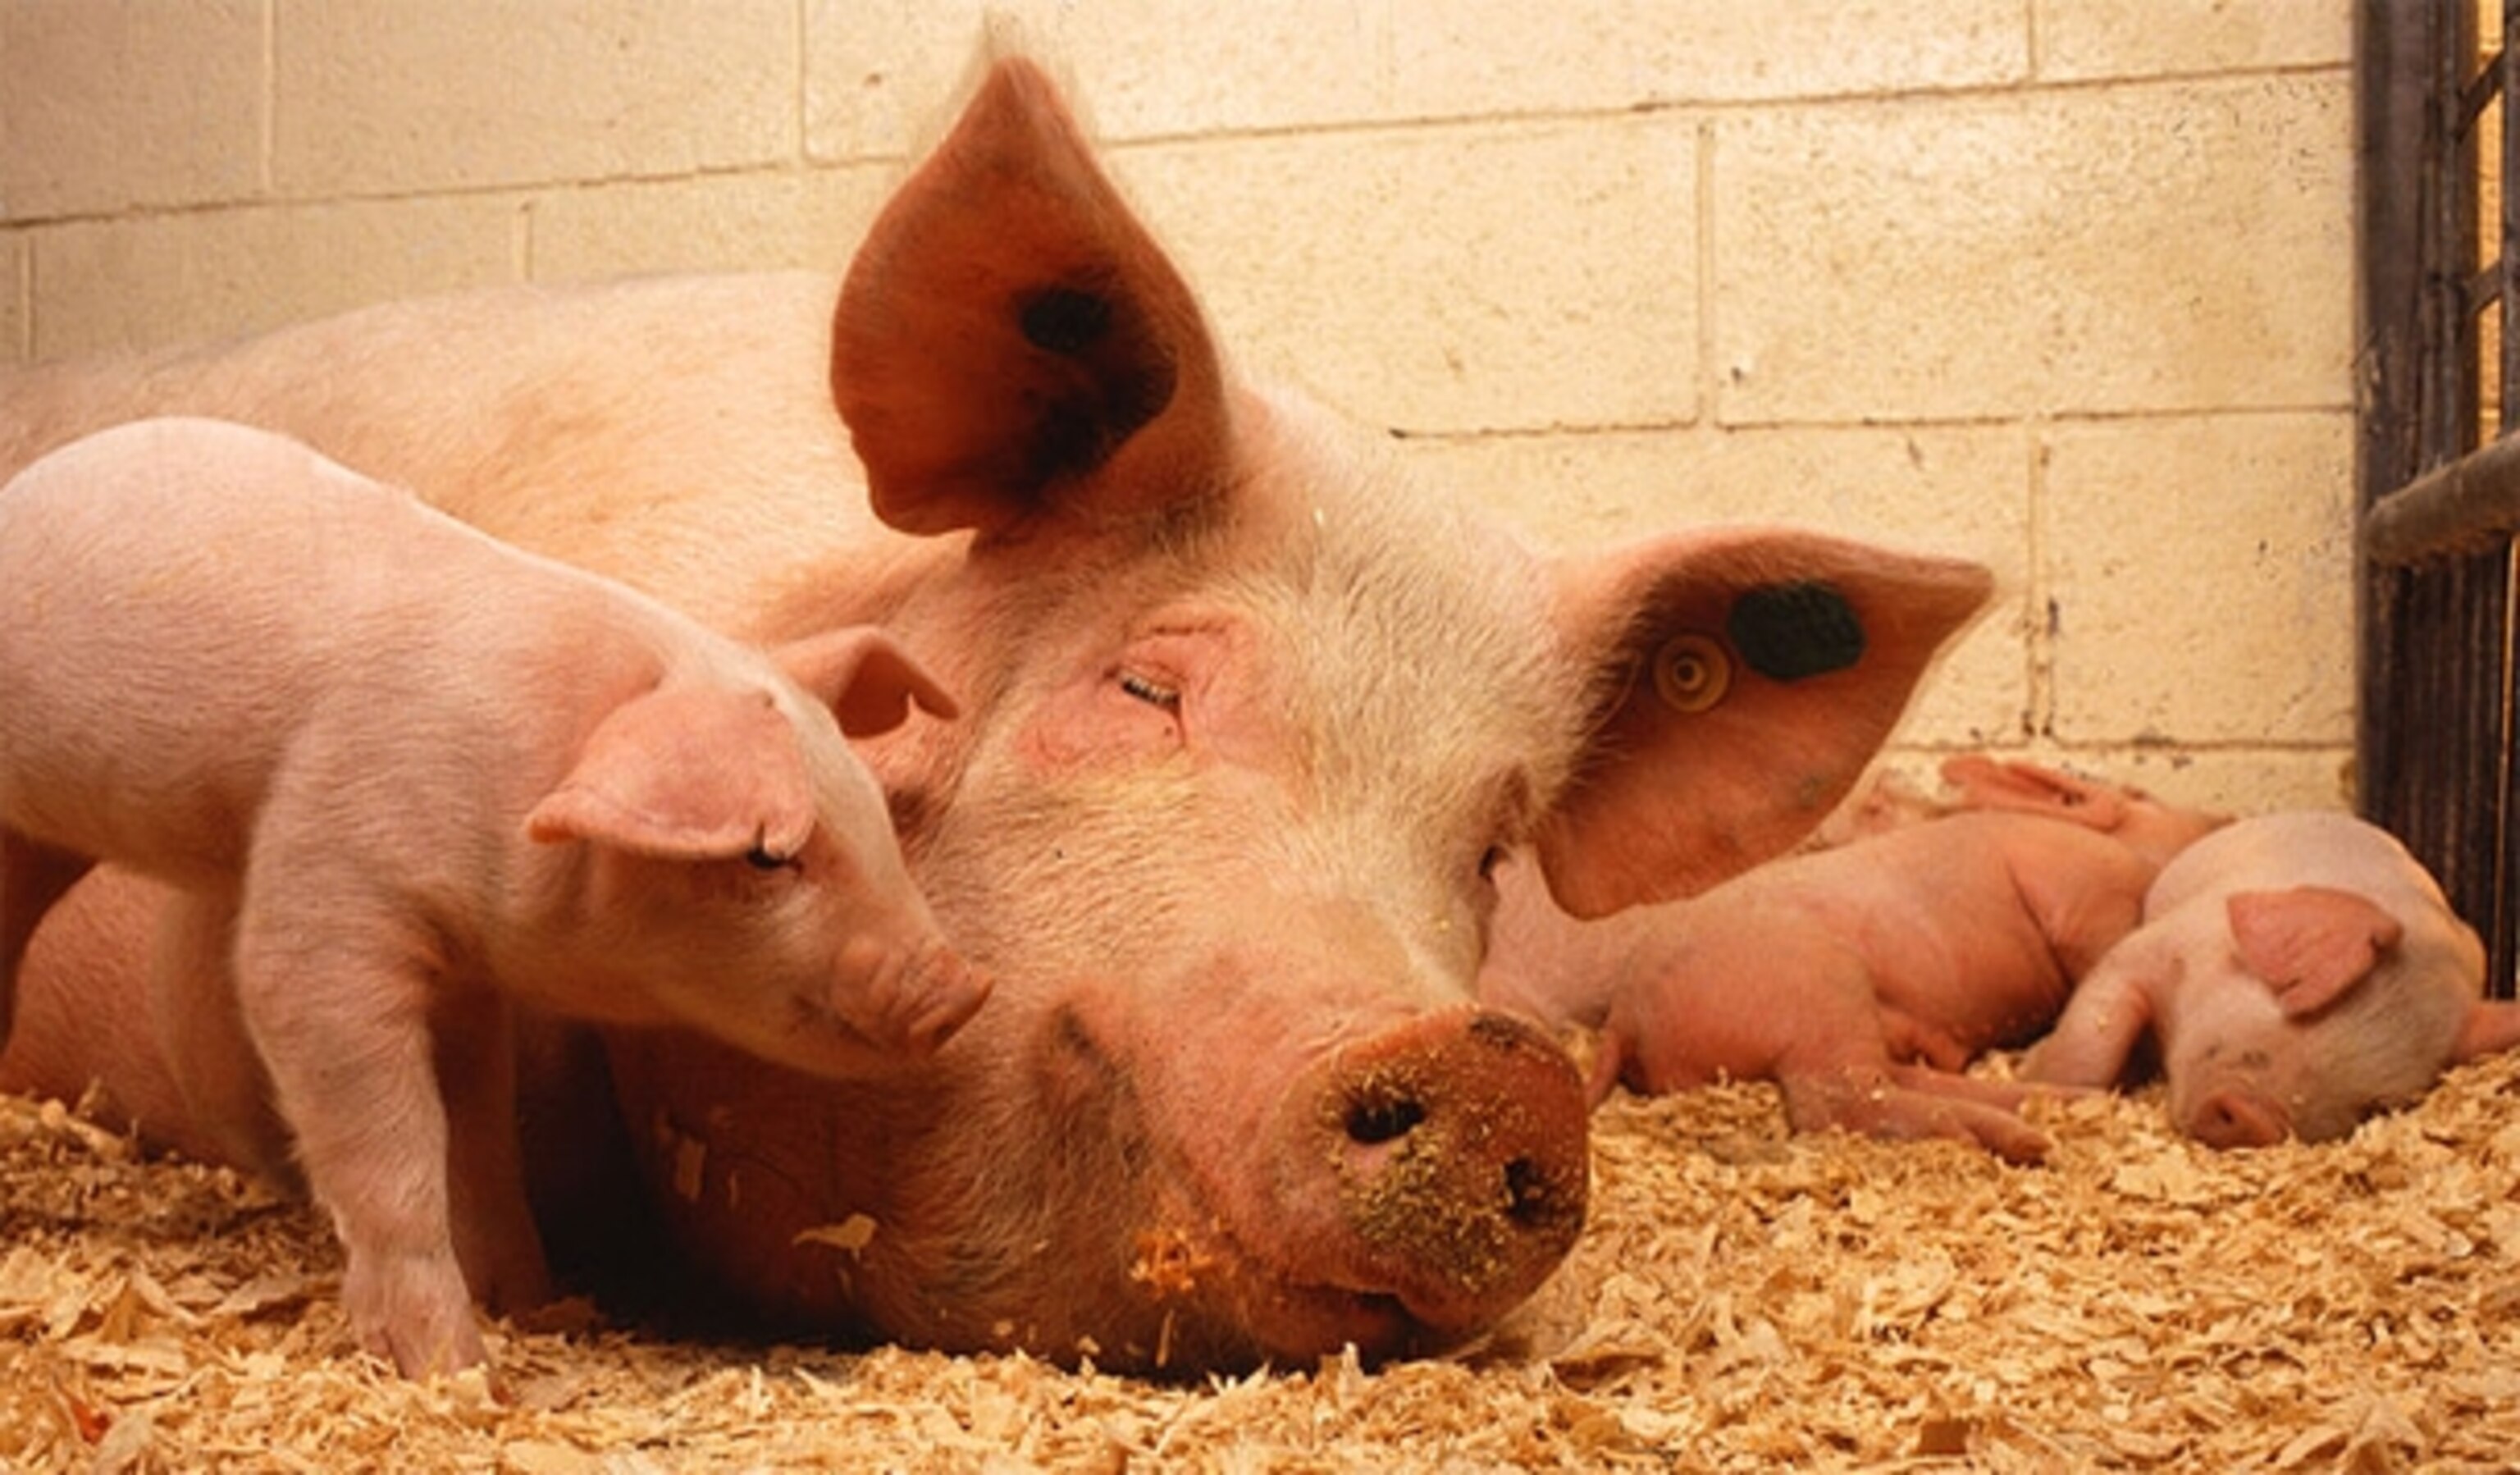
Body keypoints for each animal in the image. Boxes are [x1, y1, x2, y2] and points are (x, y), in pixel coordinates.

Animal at [0, 415, 985, 1374]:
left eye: (873, 812)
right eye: (766, 856)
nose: (960, 988)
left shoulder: (462, 976)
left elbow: (477, 1137)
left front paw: (535, 1306)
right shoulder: (328, 883)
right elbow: (381, 1126)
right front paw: (454, 1367)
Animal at [1485, 757, 2229, 1162]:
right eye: (2147, 798)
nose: (2219, 820)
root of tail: (1627, 1018)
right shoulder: (2082, 890)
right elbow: (2097, 951)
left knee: (1888, 1077)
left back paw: (2045, 1112)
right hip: (1818, 982)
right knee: (1837, 1099)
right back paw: (2015, 1139)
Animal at [2021, 810, 2520, 1147]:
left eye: (2374, 1105)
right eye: (2305, 1002)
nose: (2255, 1119)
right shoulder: (2154, 946)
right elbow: (2095, 1036)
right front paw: (2041, 1079)